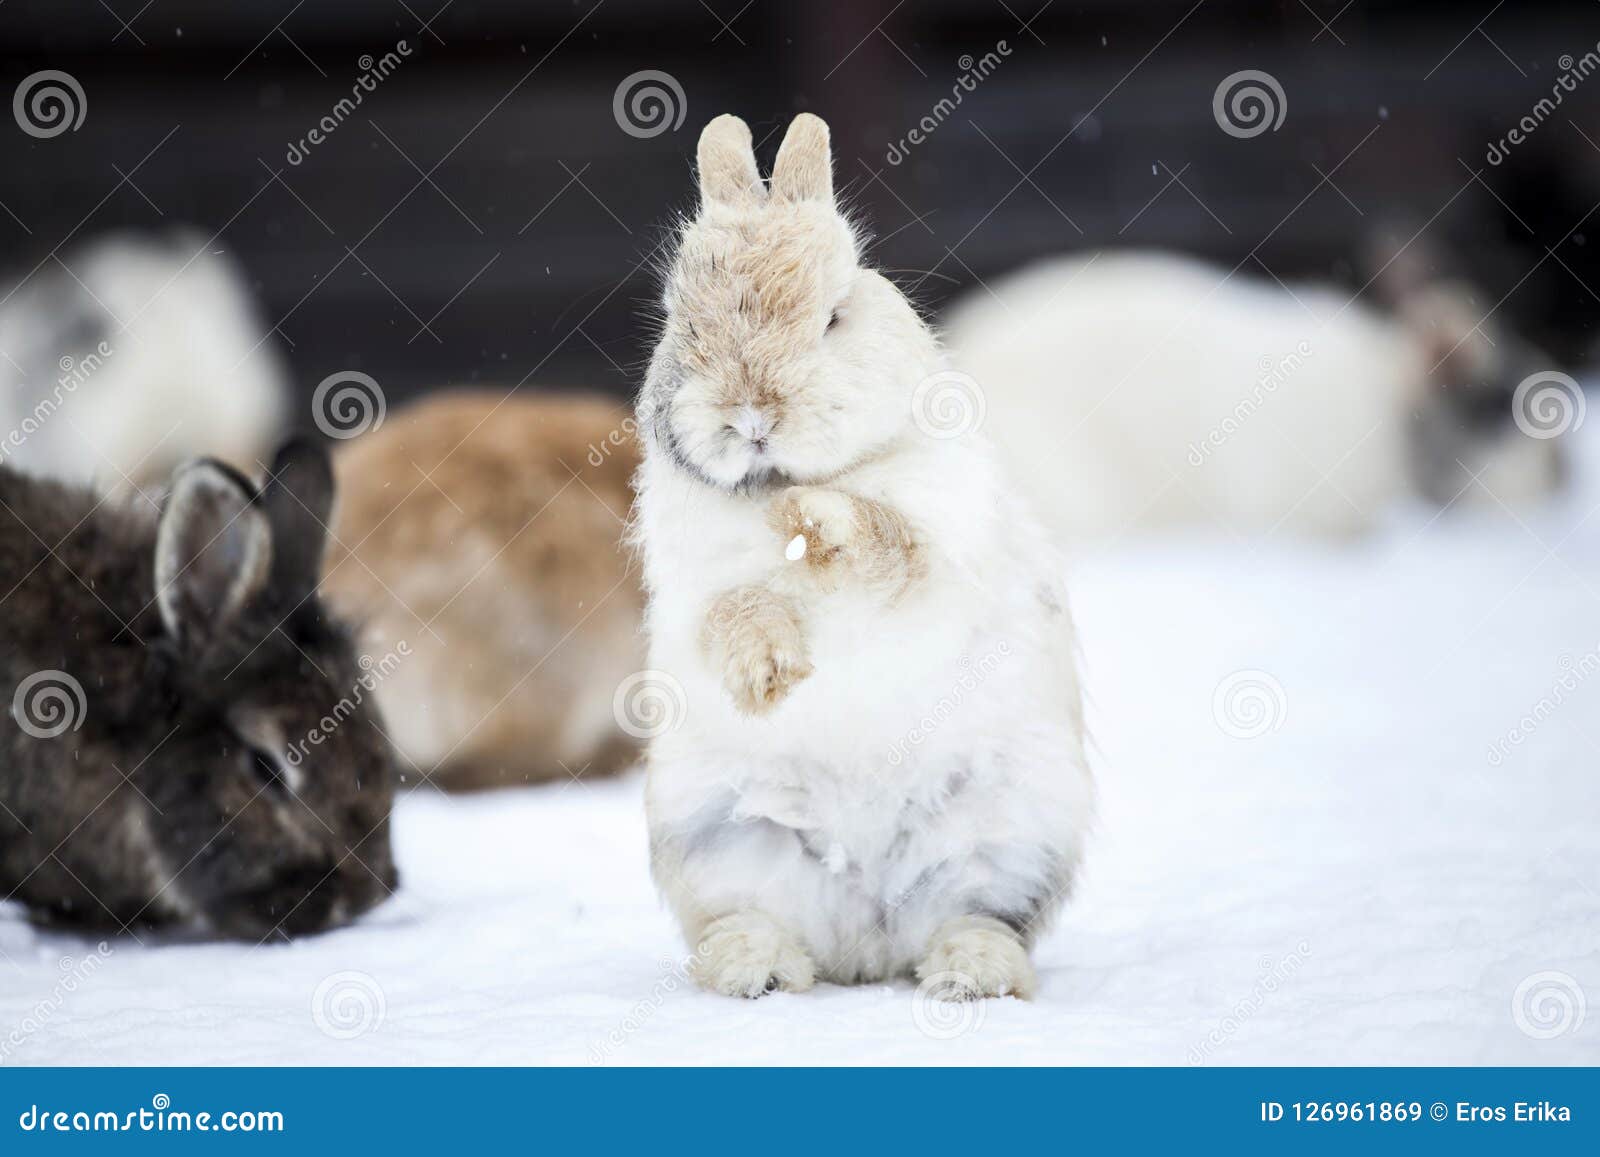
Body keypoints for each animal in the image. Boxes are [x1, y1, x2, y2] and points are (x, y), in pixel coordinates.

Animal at [631, 113, 1093, 1000]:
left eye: (835, 316)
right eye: (684, 321)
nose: (751, 414)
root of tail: (870, 942)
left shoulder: (938, 543)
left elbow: (888, 544)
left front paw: (816, 519)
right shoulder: (699, 589)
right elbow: (736, 611)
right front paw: (766, 676)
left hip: (1017, 832)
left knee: (985, 917)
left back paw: (967, 974)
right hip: (716, 839)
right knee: (760, 923)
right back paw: (755, 968)